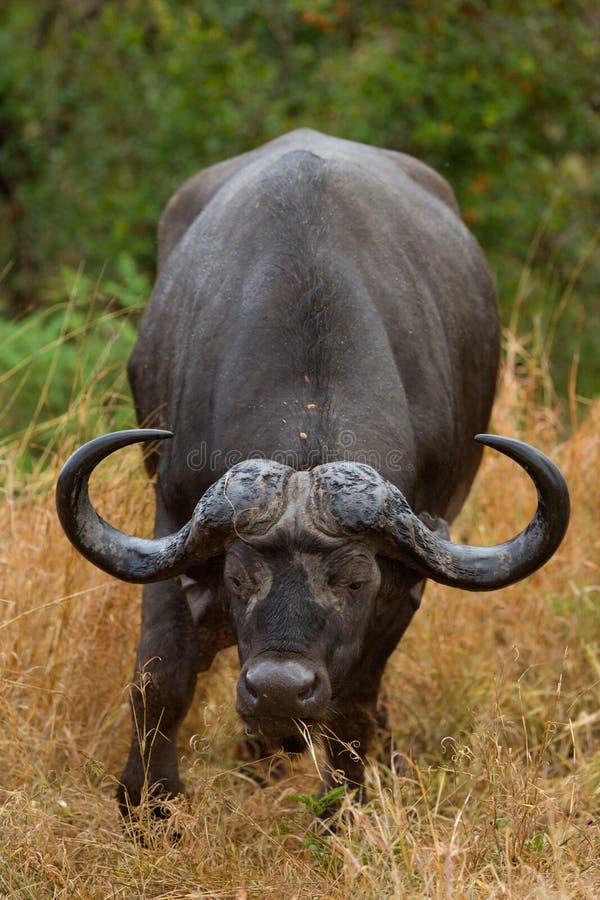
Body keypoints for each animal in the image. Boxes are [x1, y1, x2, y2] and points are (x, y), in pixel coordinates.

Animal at [56, 130, 569, 820]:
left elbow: (351, 706)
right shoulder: (170, 526)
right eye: (239, 578)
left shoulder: (406, 583)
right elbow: (160, 678)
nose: (278, 689)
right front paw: (150, 808)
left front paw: (342, 812)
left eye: (355, 582)